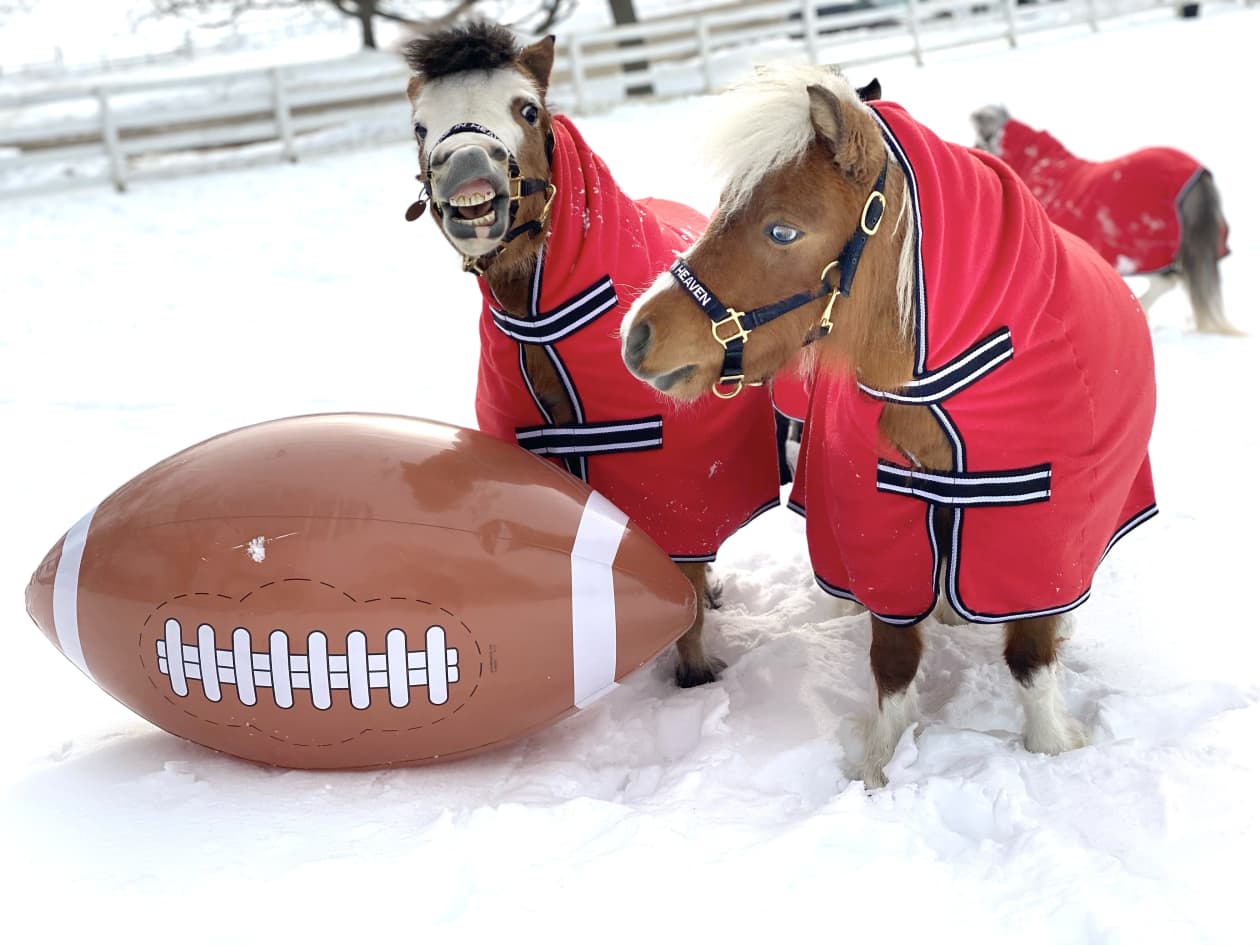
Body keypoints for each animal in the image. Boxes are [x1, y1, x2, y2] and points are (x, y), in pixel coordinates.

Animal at [401, 21, 785, 688]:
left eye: (526, 109)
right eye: (422, 126)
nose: (469, 170)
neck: (542, 325)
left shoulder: (679, 482)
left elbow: (683, 575)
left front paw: (695, 670)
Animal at [620, 64, 1158, 787]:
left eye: (782, 231)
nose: (638, 336)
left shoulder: (1037, 537)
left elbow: (1030, 653)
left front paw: (1051, 745)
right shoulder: (882, 530)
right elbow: (894, 656)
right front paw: (881, 764)